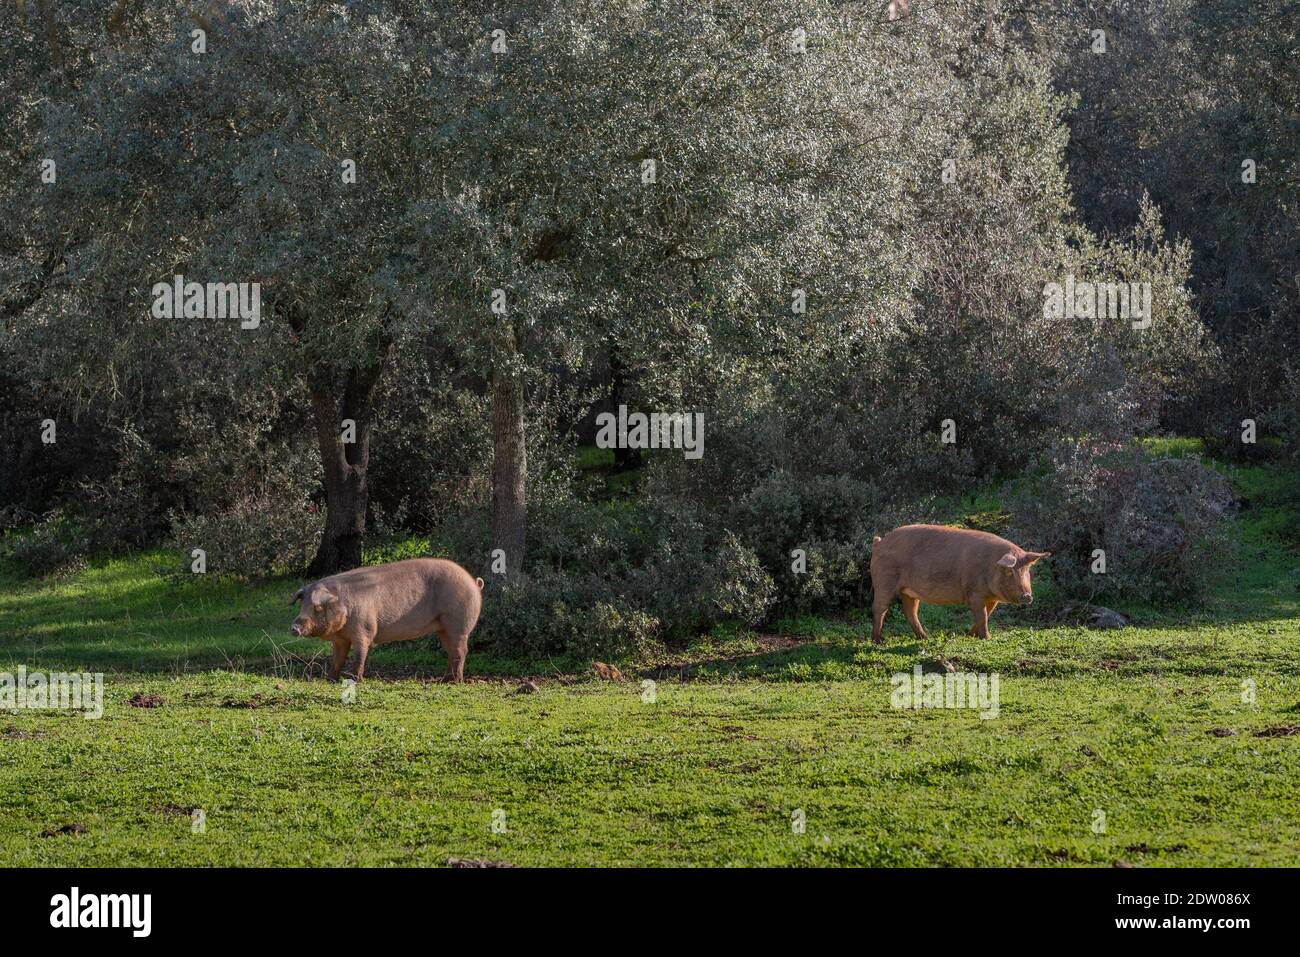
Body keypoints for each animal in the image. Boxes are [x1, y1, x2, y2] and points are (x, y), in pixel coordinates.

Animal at [289, 558, 484, 683]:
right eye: (302, 604)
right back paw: (445, 679)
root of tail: (473, 582)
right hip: (443, 628)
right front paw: (329, 679)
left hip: (458, 623)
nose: (294, 627)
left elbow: (360, 656)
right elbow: (337, 659)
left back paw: (453, 681)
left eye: (317, 607)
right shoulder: (340, 639)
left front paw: (354, 680)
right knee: (451, 651)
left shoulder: (364, 629)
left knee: (460, 651)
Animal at [870, 525, 1049, 644]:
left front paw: (970, 635)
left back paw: (925, 638)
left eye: (1026, 571)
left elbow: (986, 614)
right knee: (879, 609)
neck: (989, 567)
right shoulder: (974, 594)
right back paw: (878, 641)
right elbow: (982, 615)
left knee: (909, 611)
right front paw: (987, 638)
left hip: (908, 591)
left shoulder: (991, 598)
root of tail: (879, 542)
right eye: (1010, 572)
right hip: (883, 581)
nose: (1027, 596)